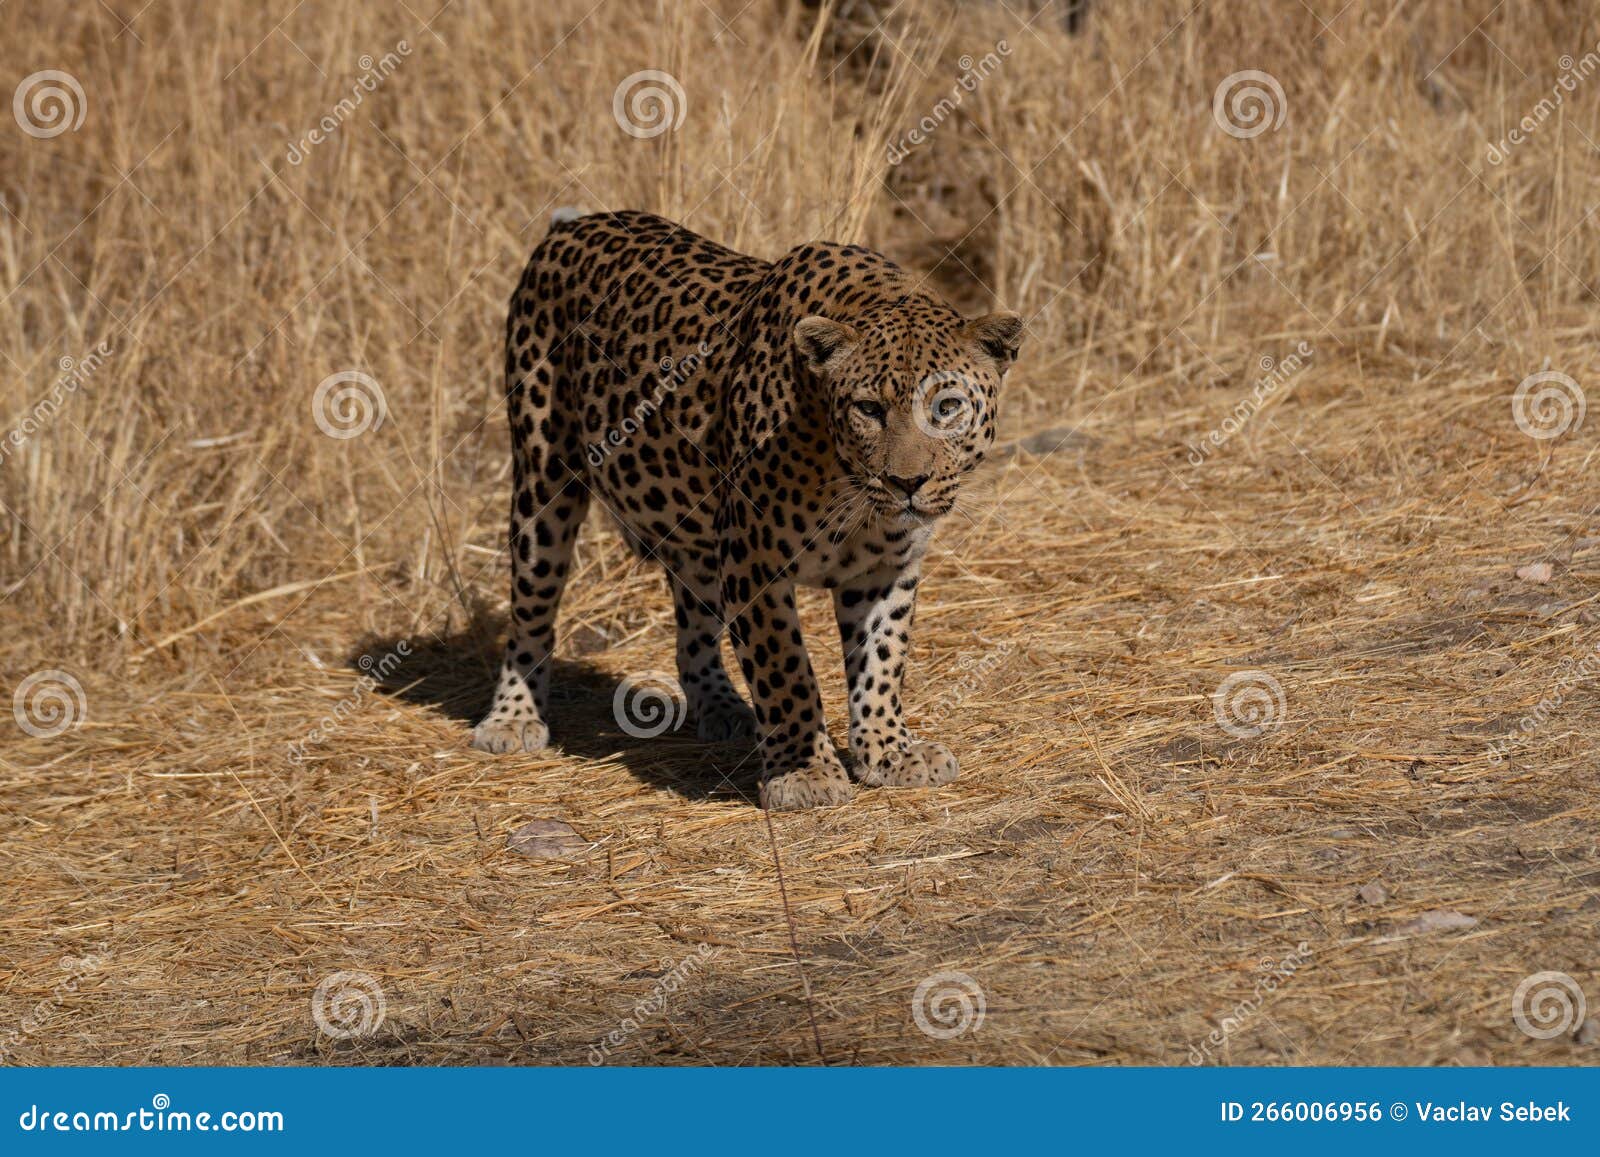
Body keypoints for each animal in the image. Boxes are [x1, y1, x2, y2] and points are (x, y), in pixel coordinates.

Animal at [471, 209, 1024, 810]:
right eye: (868, 409)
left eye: (947, 407)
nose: (907, 483)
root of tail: (574, 224)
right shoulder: (753, 558)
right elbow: (785, 669)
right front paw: (805, 772)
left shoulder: (883, 568)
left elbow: (881, 661)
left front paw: (889, 751)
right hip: (543, 481)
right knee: (532, 608)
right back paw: (511, 717)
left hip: (692, 531)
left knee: (692, 629)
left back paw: (721, 705)